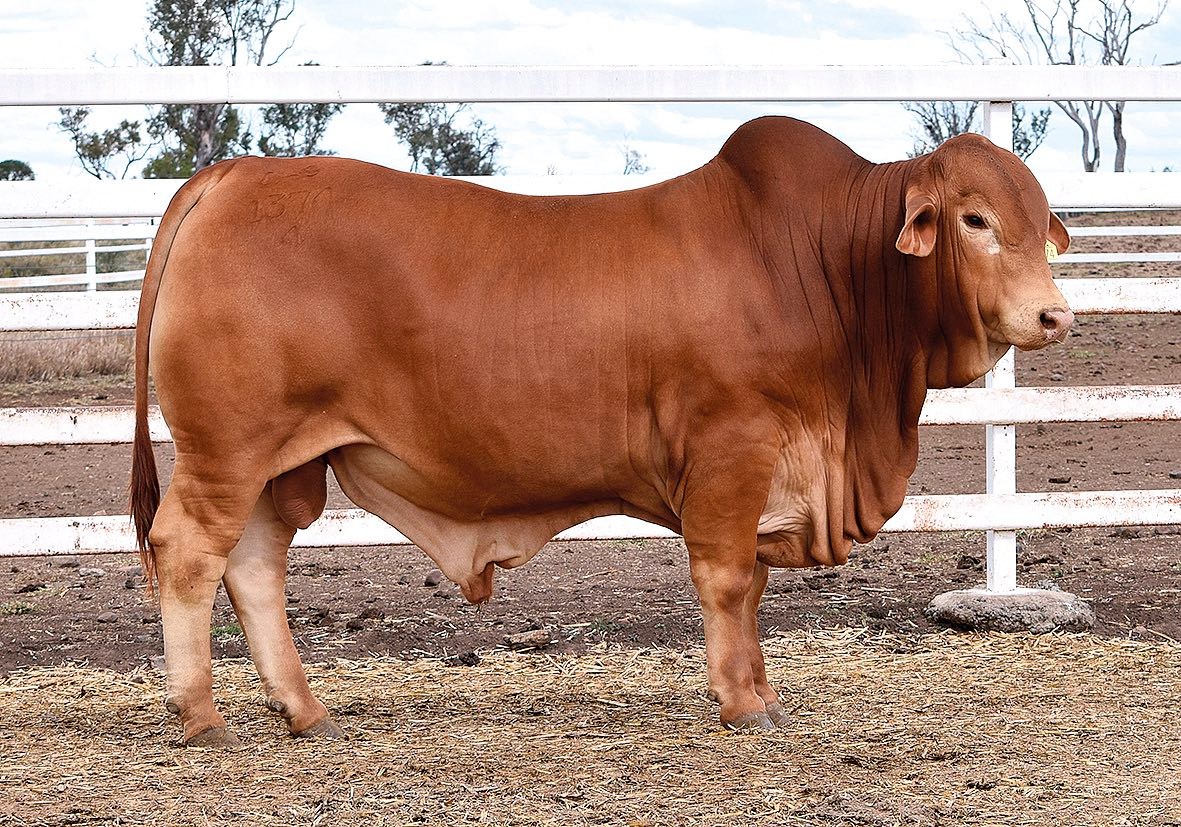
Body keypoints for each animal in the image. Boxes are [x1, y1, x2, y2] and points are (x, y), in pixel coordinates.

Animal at [130, 116, 1072, 746]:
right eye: (974, 219)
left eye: (1041, 225)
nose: (1053, 315)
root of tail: (232, 174)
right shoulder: (731, 451)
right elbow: (726, 582)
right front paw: (740, 703)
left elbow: (754, 591)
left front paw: (763, 693)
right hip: (227, 450)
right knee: (187, 552)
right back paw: (200, 714)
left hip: (276, 462)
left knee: (254, 565)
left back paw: (304, 708)